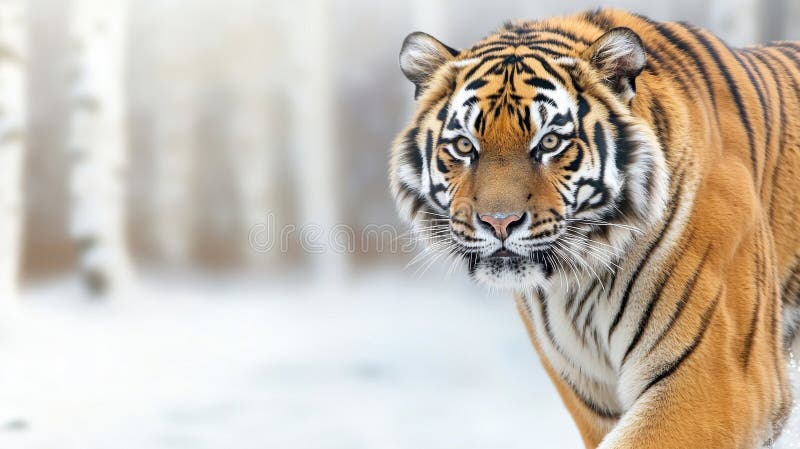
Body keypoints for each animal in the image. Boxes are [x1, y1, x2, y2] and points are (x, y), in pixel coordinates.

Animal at [389, 8, 800, 449]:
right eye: (465, 146)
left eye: (550, 143)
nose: (500, 222)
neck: (577, 284)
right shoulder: (592, 396)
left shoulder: (720, 378)